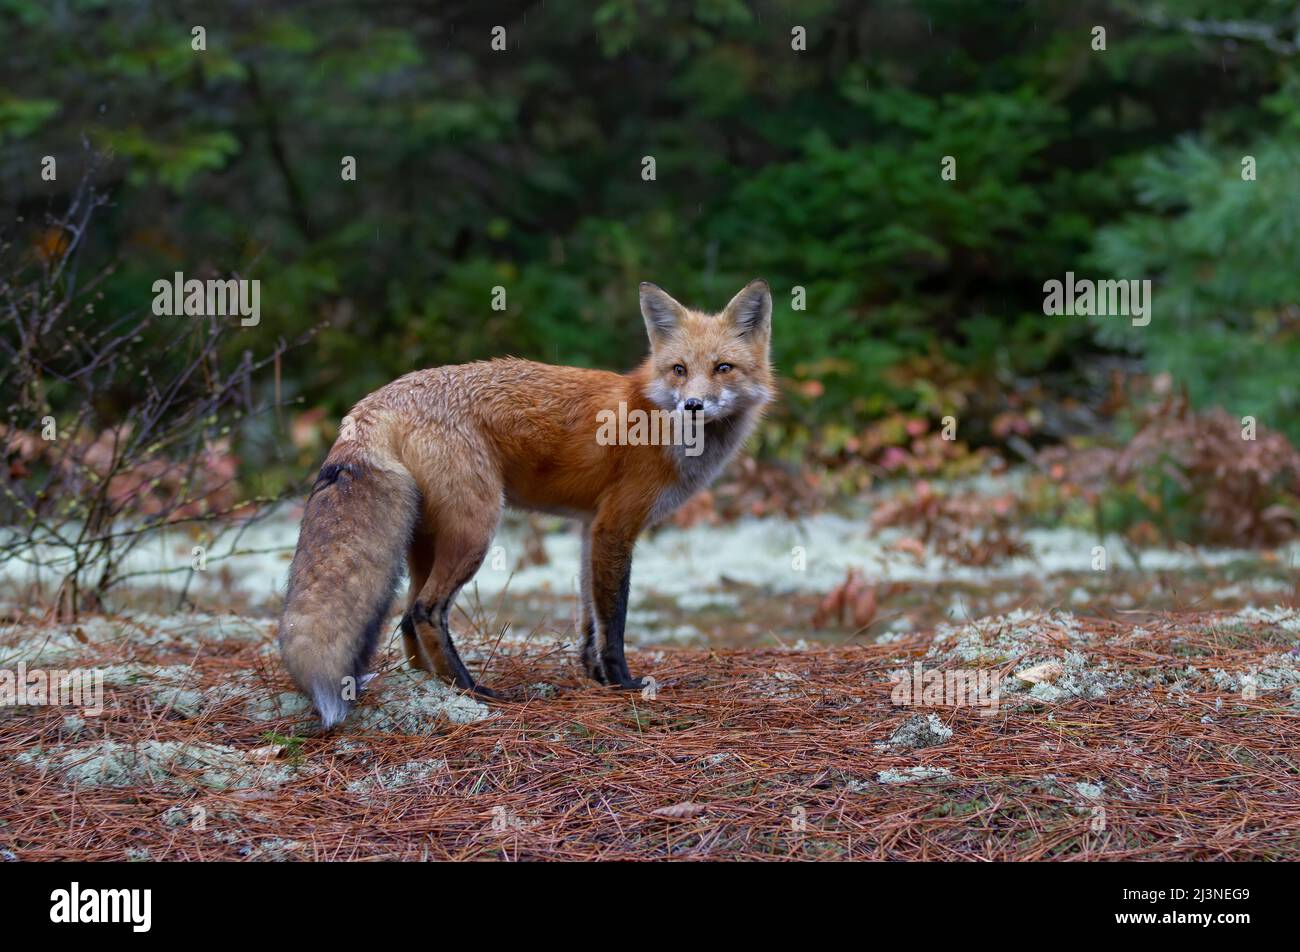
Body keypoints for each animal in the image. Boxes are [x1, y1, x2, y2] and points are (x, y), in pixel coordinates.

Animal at [278, 279, 775, 727]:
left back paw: (428, 686)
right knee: (425, 611)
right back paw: (472, 691)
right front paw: (623, 684)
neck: (656, 420)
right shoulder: (615, 527)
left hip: (426, 539)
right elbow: (613, 622)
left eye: (723, 368)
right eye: (678, 369)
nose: (693, 405)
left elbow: (588, 621)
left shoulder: (589, 529)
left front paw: (595, 678)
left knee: (404, 617)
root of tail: (375, 402)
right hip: (475, 529)